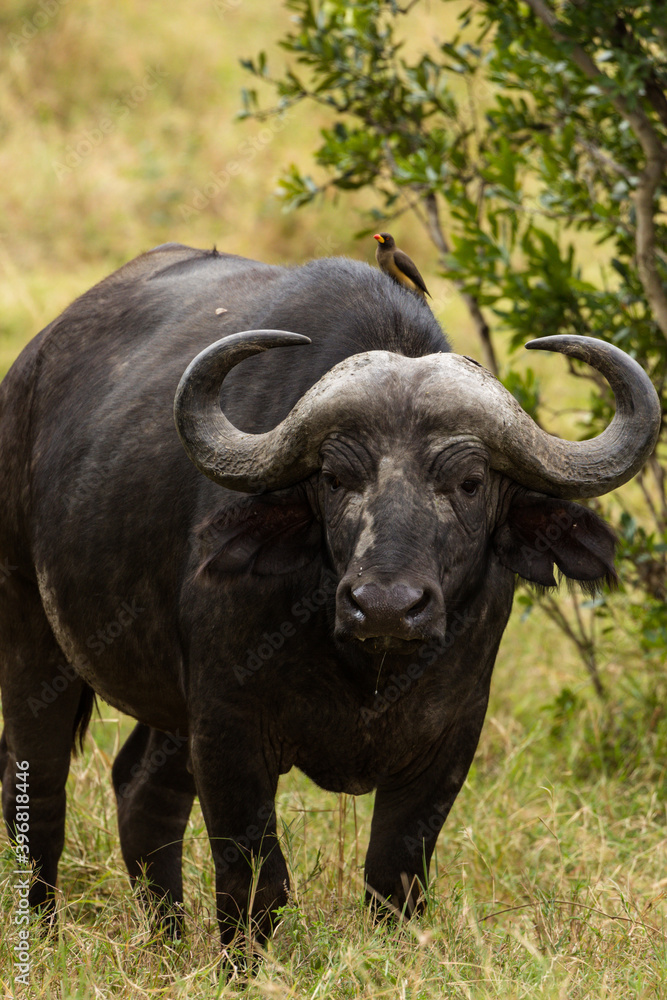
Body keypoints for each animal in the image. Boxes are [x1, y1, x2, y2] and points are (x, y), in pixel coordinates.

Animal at [0, 243, 660, 947]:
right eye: (337, 477)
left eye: (471, 481)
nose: (387, 606)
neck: (364, 666)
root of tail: (29, 371)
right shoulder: (228, 729)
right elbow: (256, 879)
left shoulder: (450, 739)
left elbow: (394, 877)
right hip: (32, 635)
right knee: (36, 787)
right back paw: (40, 930)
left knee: (141, 789)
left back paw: (168, 936)